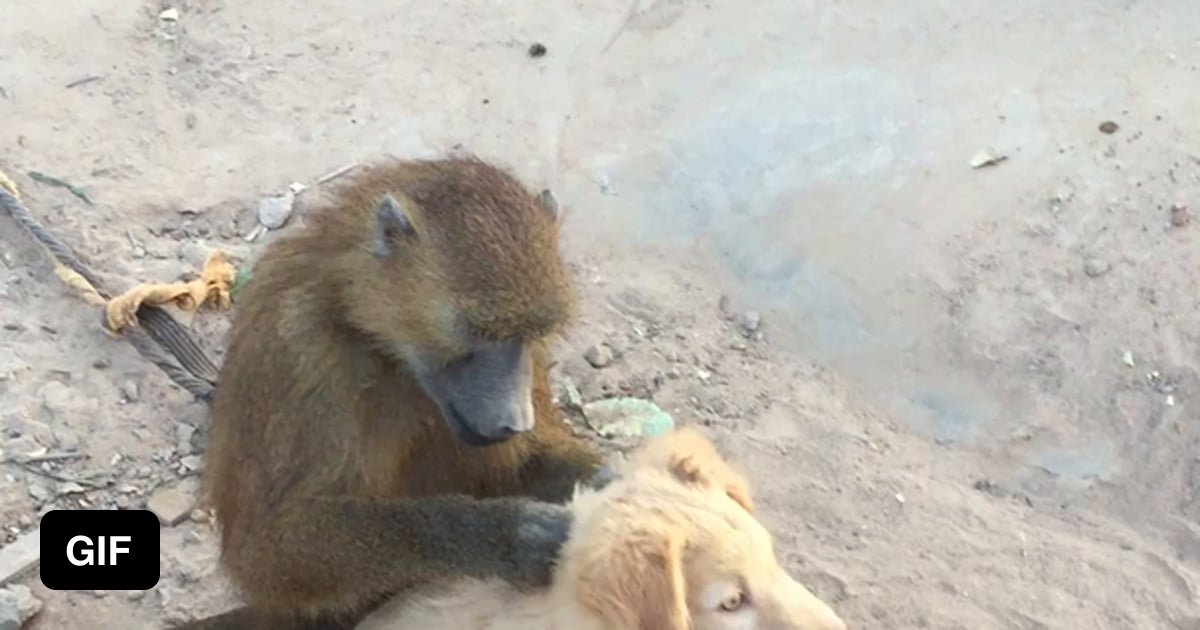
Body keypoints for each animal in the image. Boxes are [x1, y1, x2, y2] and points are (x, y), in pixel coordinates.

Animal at [177, 157, 611, 629]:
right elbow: (267, 548)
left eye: (527, 336)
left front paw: (605, 478)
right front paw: (503, 535)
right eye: (477, 332)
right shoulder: (296, 345)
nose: (513, 420)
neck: (377, 338)